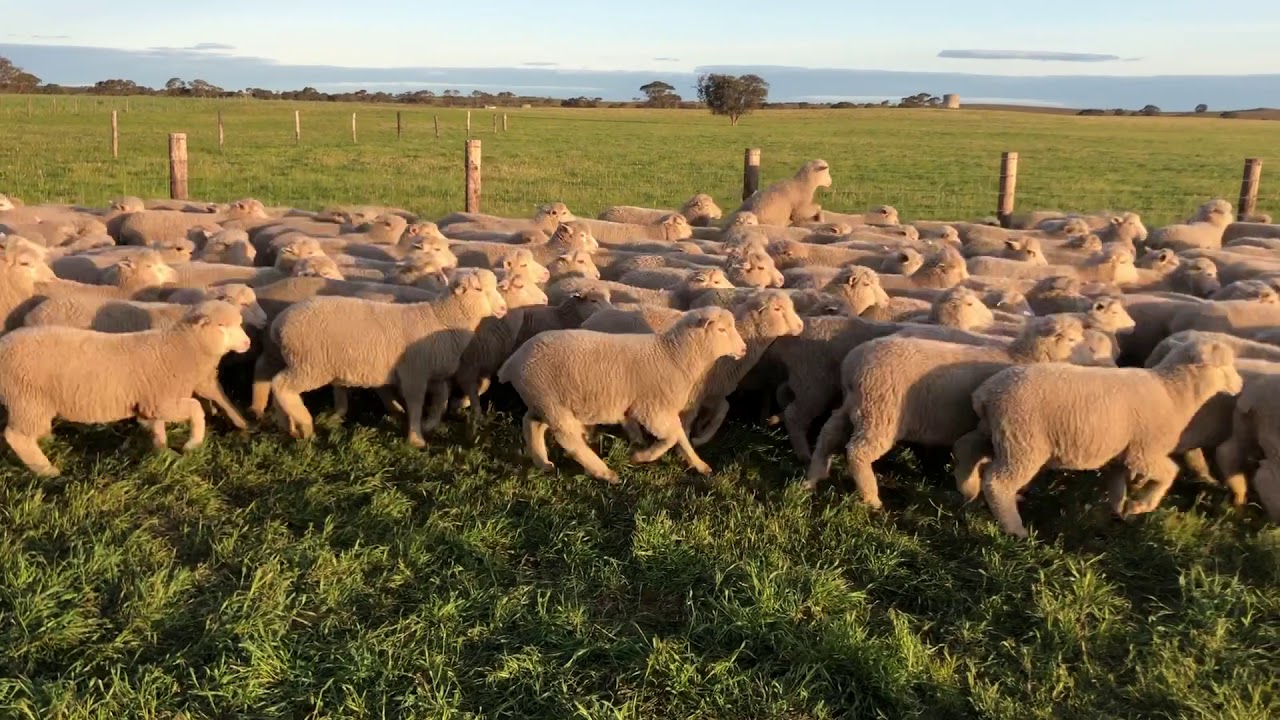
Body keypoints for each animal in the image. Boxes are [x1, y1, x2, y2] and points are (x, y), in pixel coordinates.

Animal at [0, 301, 252, 476]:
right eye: (221, 325)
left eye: (240, 323)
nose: (247, 343)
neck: (180, 349)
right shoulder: (163, 400)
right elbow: (196, 409)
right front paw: (193, 444)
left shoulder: (151, 401)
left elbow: (158, 426)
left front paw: (163, 451)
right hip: (26, 397)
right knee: (16, 437)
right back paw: (46, 470)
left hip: (31, 400)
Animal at [266, 269, 506, 446]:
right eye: (478, 289)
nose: (504, 308)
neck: (442, 319)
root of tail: (278, 324)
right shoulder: (414, 374)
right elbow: (416, 404)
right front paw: (416, 439)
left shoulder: (434, 373)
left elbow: (441, 399)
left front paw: (430, 424)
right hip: (310, 365)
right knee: (281, 385)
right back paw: (305, 424)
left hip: (302, 363)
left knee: (276, 385)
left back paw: (288, 424)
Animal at [497, 306, 748, 482]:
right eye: (722, 330)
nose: (744, 349)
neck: (673, 354)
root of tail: (512, 362)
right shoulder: (652, 409)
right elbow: (671, 437)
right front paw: (641, 457)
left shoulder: (661, 408)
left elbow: (680, 436)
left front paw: (699, 464)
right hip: (551, 403)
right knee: (567, 439)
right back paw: (603, 472)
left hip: (543, 400)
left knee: (532, 424)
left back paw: (543, 462)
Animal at [805, 314, 1089, 506]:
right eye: (1073, 339)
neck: (1022, 356)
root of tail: (853, 364)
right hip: (879, 413)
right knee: (858, 451)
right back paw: (871, 498)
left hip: (855, 406)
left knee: (828, 434)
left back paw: (813, 477)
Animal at [967, 339, 1243, 537]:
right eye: (1224, 366)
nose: (1240, 386)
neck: (1174, 392)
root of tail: (985, 393)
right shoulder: (1143, 453)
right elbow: (1170, 473)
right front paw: (1141, 506)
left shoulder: (1122, 455)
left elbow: (1117, 486)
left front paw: (1119, 514)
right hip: (1023, 442)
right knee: (997, 483)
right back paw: (1015, 529)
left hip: (998, 436)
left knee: (975, 460)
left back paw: (974, 490)